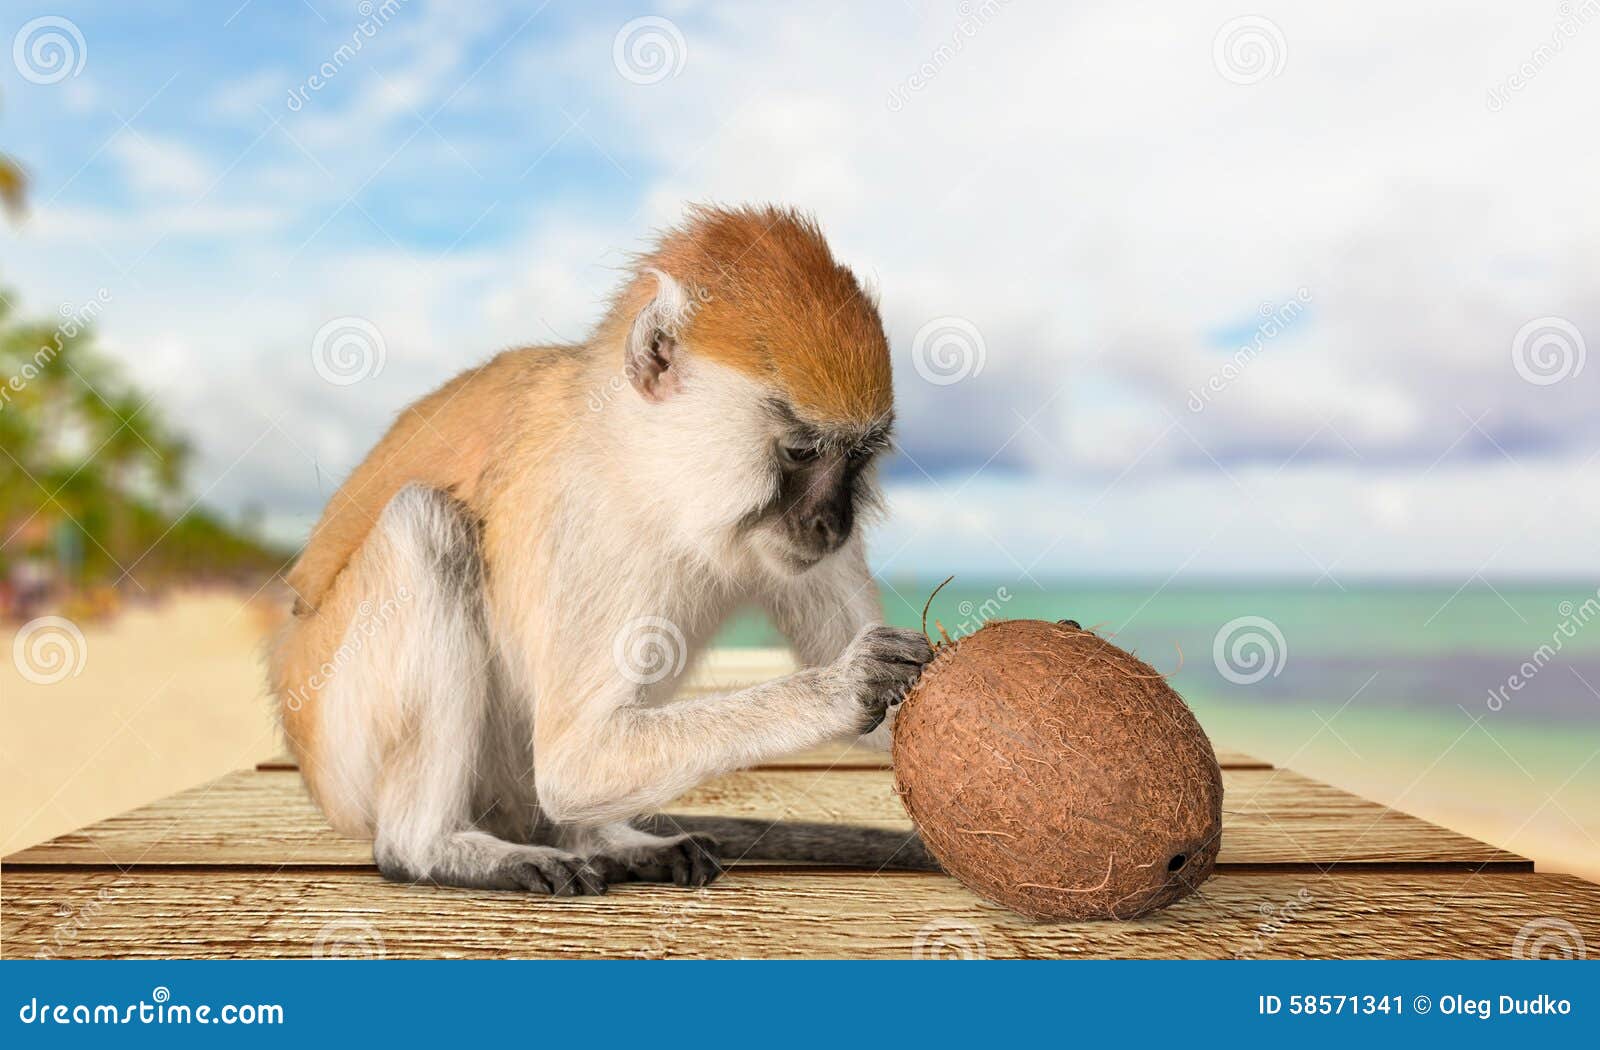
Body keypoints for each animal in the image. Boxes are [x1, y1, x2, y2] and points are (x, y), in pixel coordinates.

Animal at [269, 204, 938, 895]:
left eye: (855, 458)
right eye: (803, 452)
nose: (831, 524)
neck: (641, 462)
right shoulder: (585, 521)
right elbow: (575, 764)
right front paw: (846, 686)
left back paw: (600, 841)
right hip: (340, 742)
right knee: (423, 522)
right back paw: (433, 849)